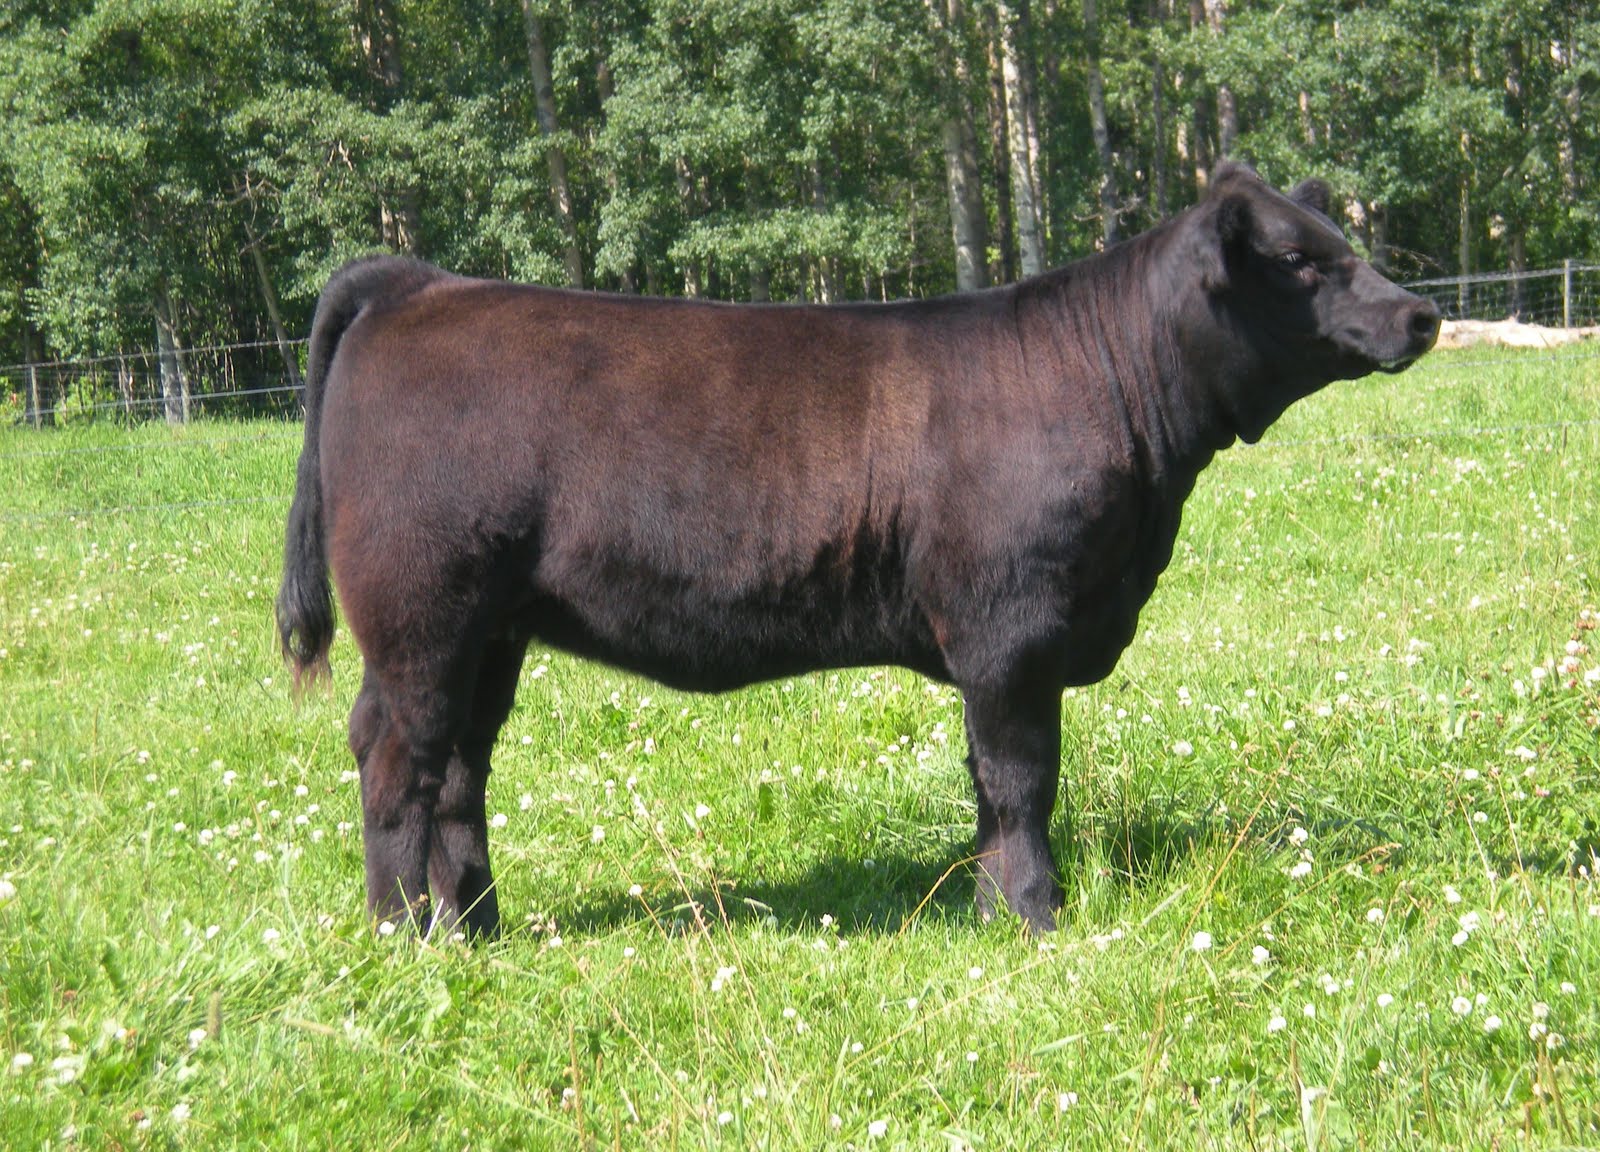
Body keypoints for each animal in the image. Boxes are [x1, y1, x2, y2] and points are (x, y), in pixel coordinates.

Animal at [277, 163, 1440, 939]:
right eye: (1298, 259)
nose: (1422, 314)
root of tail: (422, 283)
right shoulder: (1011, 628)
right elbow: (1021, 776)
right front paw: (1035, 913)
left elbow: (987, 786)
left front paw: (989, 907)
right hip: (422, 613)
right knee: (397, 760)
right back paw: (405, 934)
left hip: (492, 631)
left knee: (459, 767)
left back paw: (476, 924)